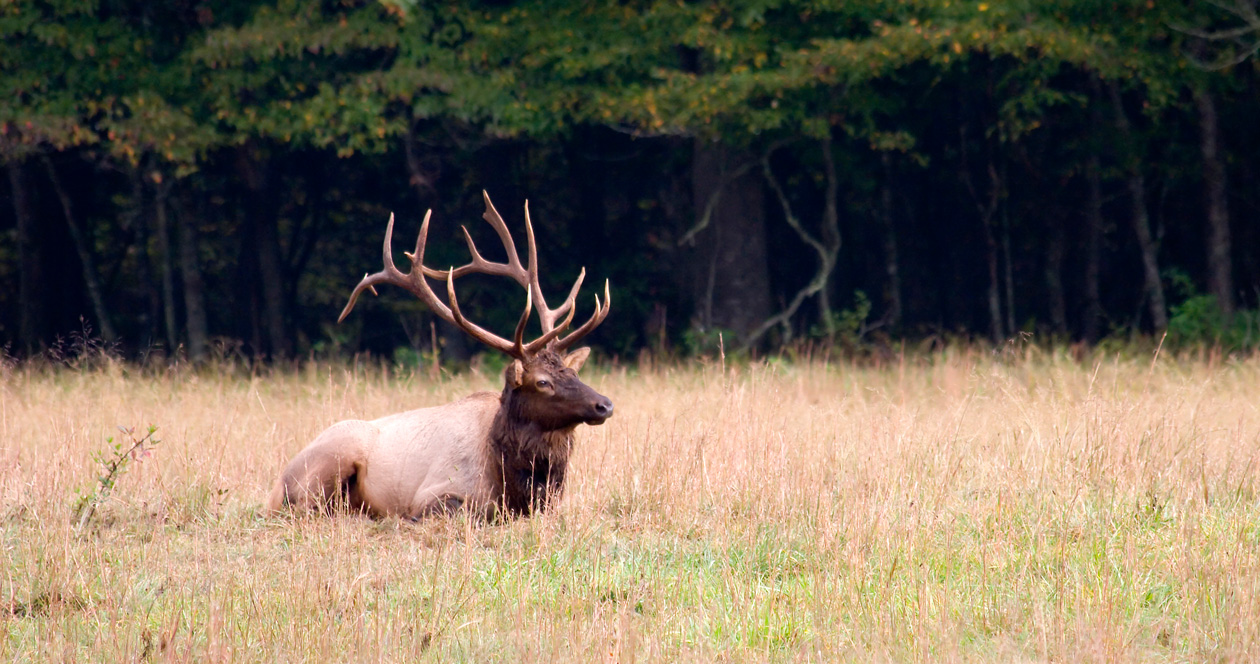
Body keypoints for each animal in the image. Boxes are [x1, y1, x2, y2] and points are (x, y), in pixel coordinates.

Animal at [266, 192, 613, 520]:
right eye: (542, 382)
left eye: (574, 373)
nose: (605, 404)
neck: (511, 482)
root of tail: (277, 485)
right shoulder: (436, 492)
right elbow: (466, 511)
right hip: (329, 460)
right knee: (309, 507)